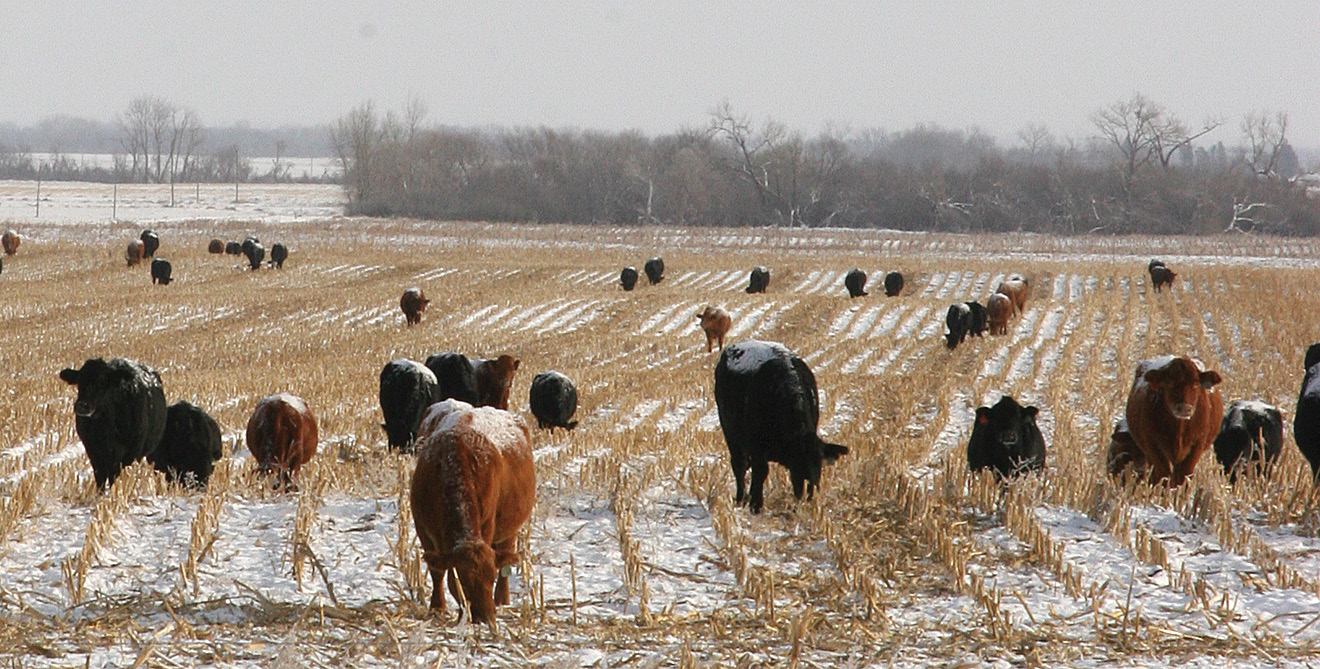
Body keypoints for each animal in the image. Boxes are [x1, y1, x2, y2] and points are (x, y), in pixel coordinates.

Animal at [59, 357, 167, 490]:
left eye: (102, 381)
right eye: (79, 381)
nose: (83, 406)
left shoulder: (131, 454)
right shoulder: (93, 451)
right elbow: (100, 477)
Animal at [410, 399, 535, 623]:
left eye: (490, 577)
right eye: (462, 580)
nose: (486, 617)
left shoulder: (487, 523)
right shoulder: (423, 527)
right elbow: (437, 570)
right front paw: (437, 607)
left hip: (511, 528)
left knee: (506, 557)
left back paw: (502, 598)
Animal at [714, 340, 849, 514]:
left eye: (819, 462)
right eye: (797, 460)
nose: (810, 488)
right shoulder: (757, 448)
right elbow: (760, 473)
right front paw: (755, 505)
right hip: (731, 436)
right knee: (739, 465)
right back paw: (740, 498)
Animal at [1124, 355, 1224, 486]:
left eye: (1196, 384)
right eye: (1169, 383)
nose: (1184, 408)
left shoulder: (1197, 445)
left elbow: (1184, 476)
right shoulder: (1153, 446)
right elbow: (1163, 475)